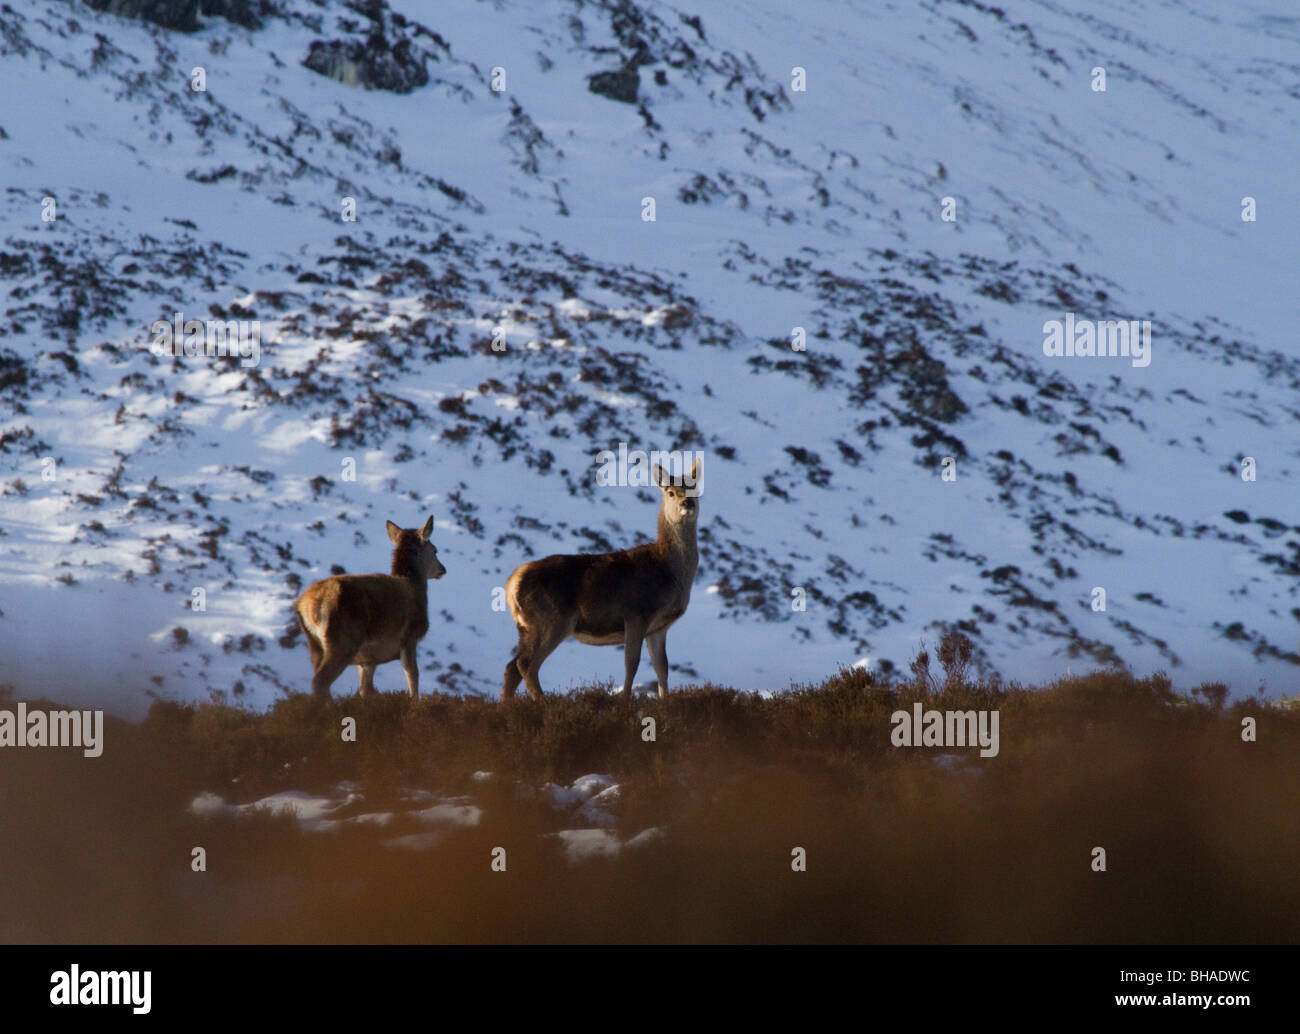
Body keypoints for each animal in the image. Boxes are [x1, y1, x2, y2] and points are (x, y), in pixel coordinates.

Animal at [295, 516, 446, 700]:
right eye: (435, 550)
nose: (442, 569)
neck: (415, 588)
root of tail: (308, 605)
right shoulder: (410, 637)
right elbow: (413, 676)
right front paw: (414, 702)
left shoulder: (368, 659)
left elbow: (365, 690)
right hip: (343, 639)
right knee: (320, 681)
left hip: (314, 644)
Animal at [502, 457, 701, 702]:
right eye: (671, 492)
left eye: (696, 488)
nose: (687, 503)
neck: (670, 573)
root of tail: (511, 585)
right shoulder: (636, 612)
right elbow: (631, 662)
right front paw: (624, 699)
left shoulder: (659, 627)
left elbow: (662, 667)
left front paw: (665, 701)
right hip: (550, 619)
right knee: (526, 664)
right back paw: (543, 702)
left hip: (527, 626)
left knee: (511, 666)